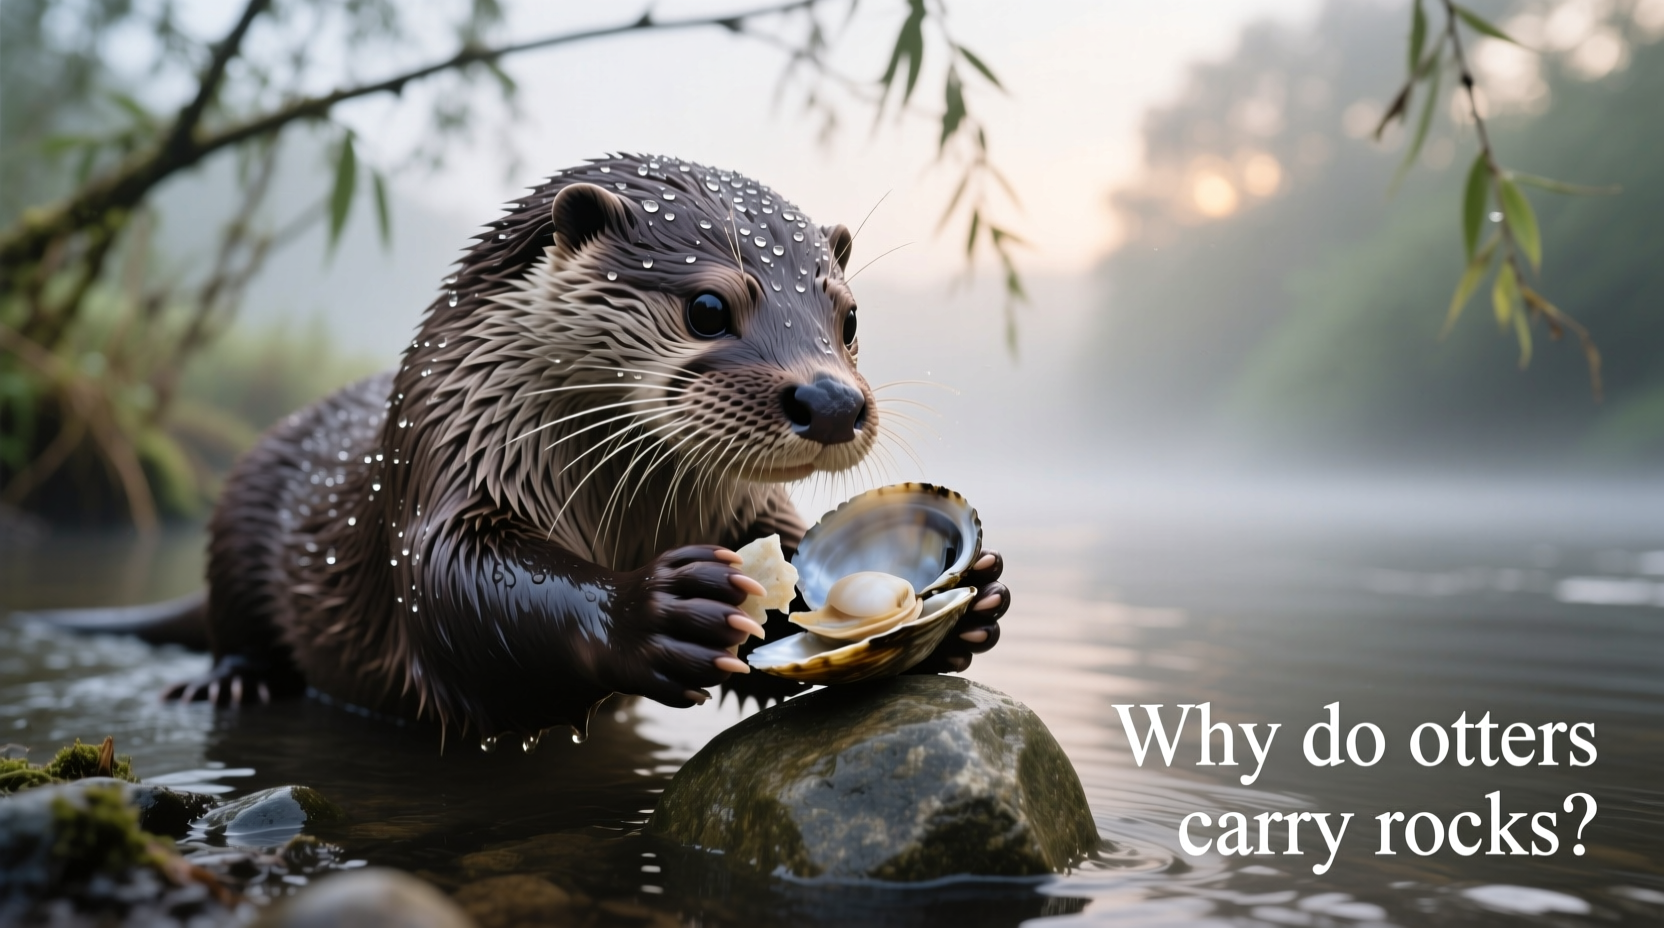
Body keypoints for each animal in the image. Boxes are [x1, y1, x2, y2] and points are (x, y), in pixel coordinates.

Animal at [161, 154, 1009, 743]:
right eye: (707, 307)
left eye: (851, 318)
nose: (833, 401)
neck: (625, 524)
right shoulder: (449, 461)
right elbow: (452, 586)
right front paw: (658, 611)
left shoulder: (748, 509)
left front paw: (972, 602)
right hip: (244, 501)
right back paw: (231, 683)